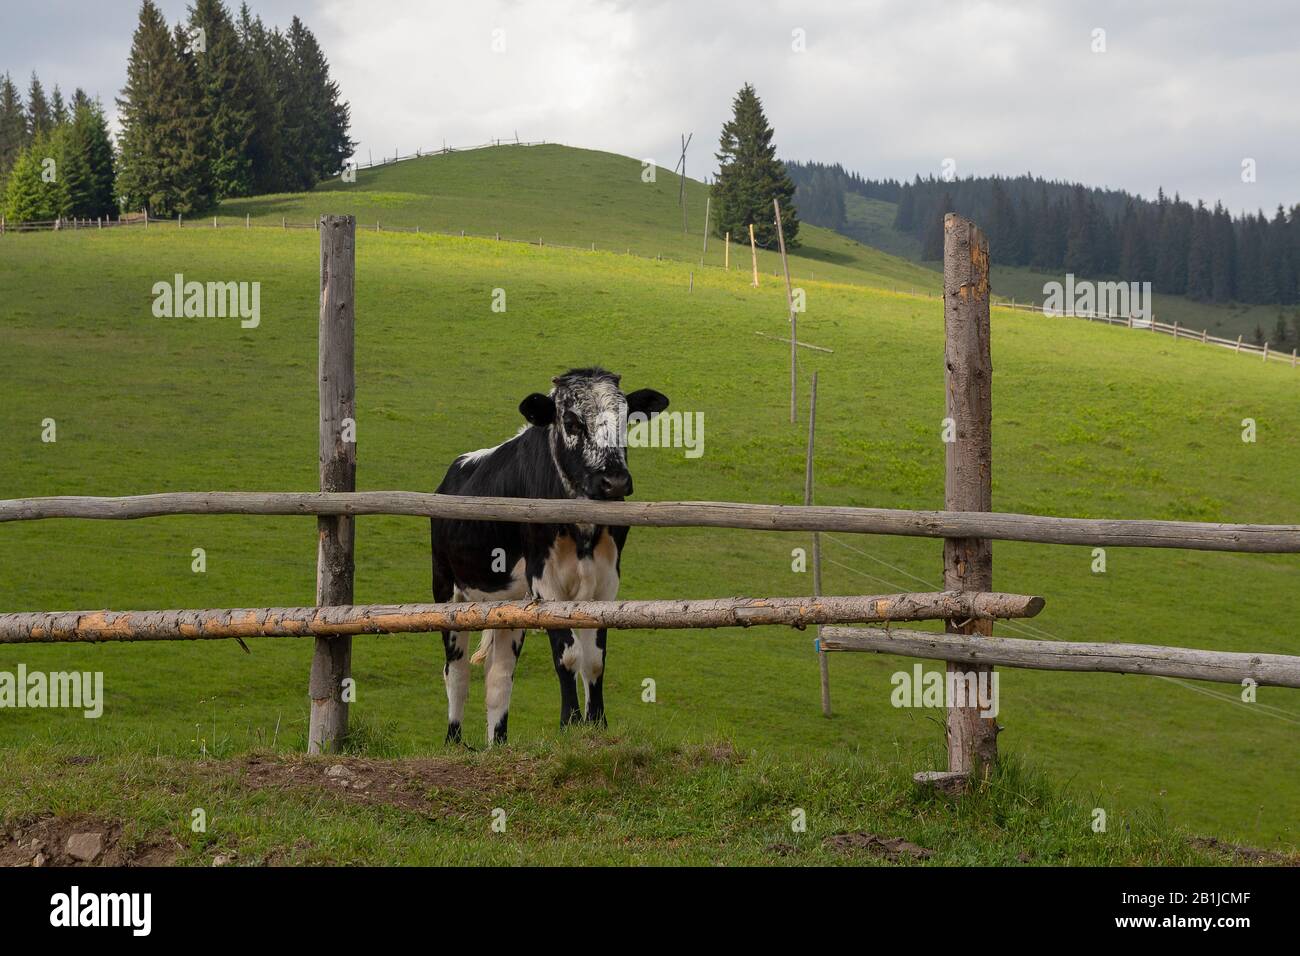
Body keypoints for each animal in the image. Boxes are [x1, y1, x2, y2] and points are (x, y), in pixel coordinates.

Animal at [430, 367, 670, 746]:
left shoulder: (604, 583)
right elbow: (568, 655)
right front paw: (570, 723)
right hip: (448, 589)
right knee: (456, 671)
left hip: (509, 606)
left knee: (499, 677)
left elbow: (595, 660)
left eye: (627, 419)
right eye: (571, 422)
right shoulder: (545, 582)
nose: (615, 481)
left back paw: (498, 744)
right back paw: (454, 741)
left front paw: (597, 724)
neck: (582, 525)